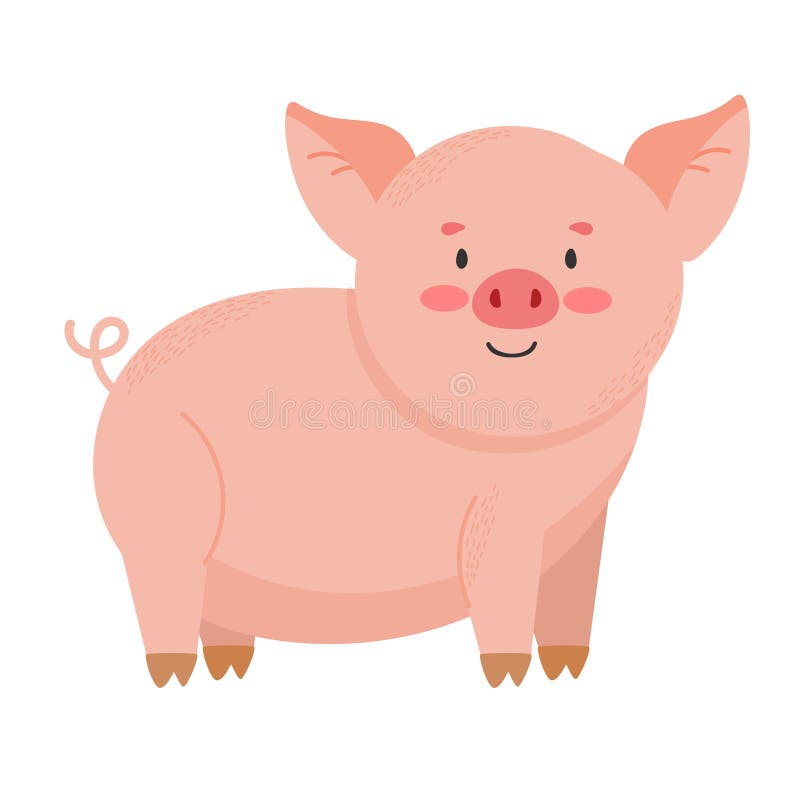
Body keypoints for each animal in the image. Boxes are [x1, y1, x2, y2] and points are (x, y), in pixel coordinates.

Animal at [66, 97, 749, 687]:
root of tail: (117, 371)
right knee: (164, 589)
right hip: (161, 511)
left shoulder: (585, 527)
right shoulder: (498, 522)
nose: (514, 288)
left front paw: (565, 673)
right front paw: (509, 680)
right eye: (460, 255)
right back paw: (172, 678)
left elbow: (574, 601)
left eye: (574, 255)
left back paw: (230, 670)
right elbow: (500, 594)